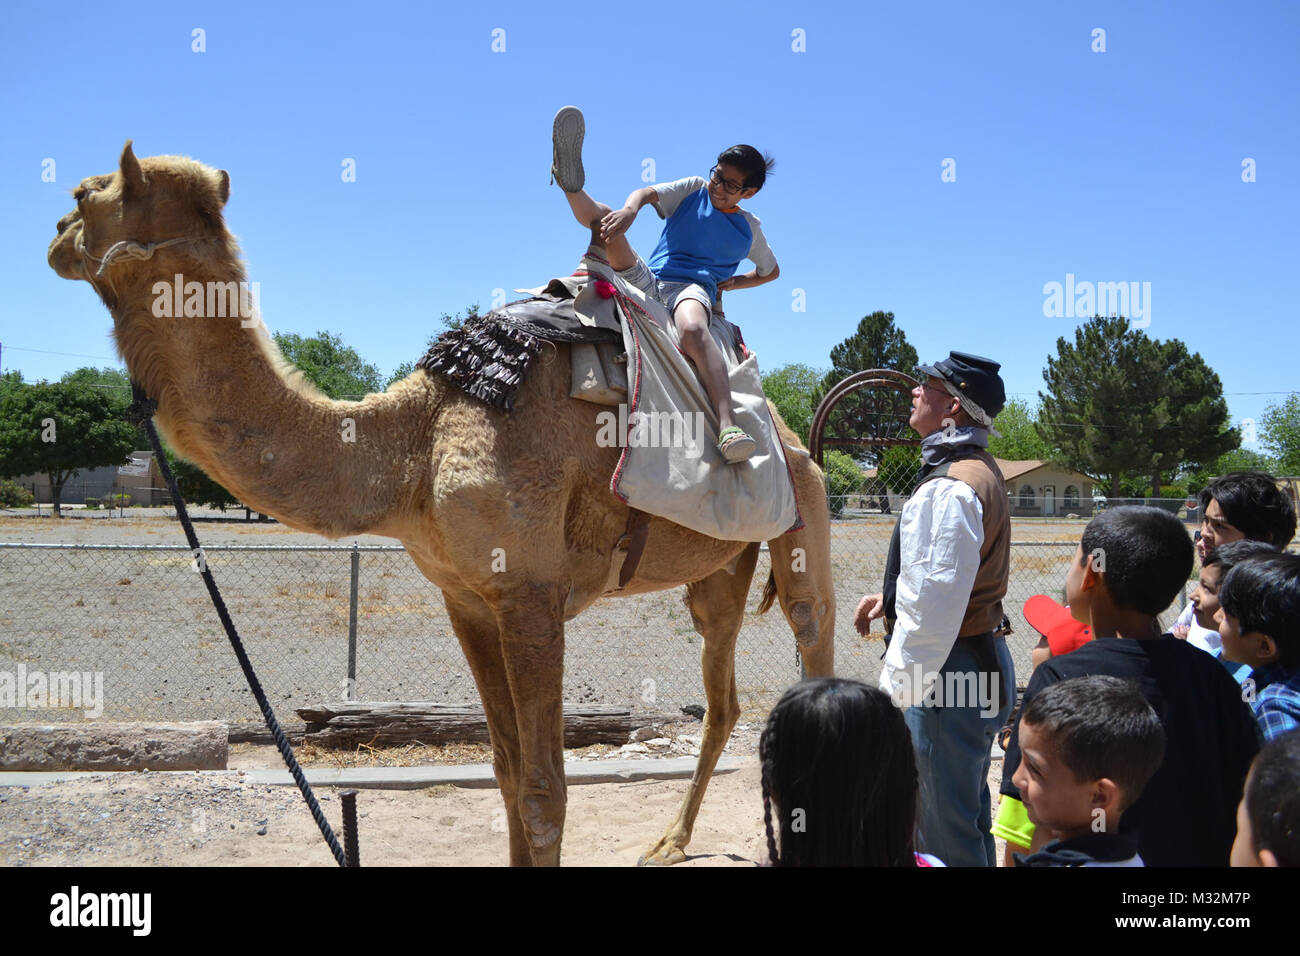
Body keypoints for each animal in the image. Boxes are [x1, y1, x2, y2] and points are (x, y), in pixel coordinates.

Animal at [47, 143, 836, 866]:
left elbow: (546, 788)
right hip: (718, 566)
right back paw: (669, 842)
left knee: (811, 628)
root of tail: (787, 428)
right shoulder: (467, 598)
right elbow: (507, 771)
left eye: (87, 193)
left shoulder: (530, 592)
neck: (413, 445)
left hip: (803, 505)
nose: (54, 232)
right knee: (721, 687)